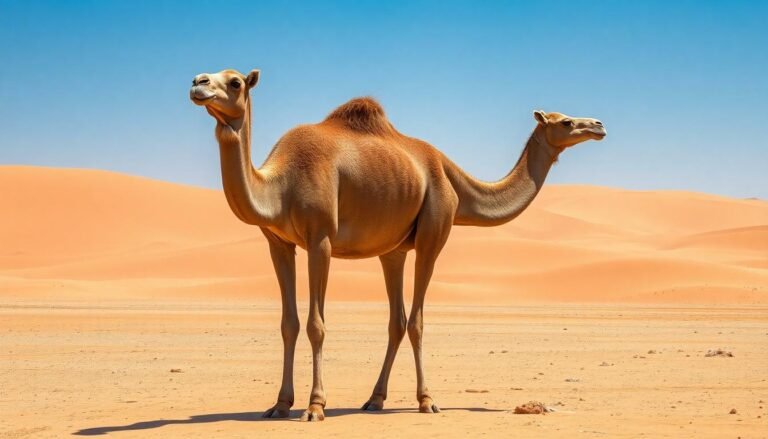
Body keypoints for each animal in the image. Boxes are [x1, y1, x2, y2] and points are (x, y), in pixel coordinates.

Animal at [189, 68, 606, 421]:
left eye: (235, 82)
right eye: (566, 121)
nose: (597, 125)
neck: (279, 184)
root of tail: (442, 164)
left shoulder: (321, 239)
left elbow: (316, 325)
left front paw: (316, 406)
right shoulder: (279, 243)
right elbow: (290, 324)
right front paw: (279, 405)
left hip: (434, 228)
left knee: (413, 320)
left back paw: (425, 401)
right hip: (395, 248)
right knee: (399, 320)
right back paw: (376, 399)